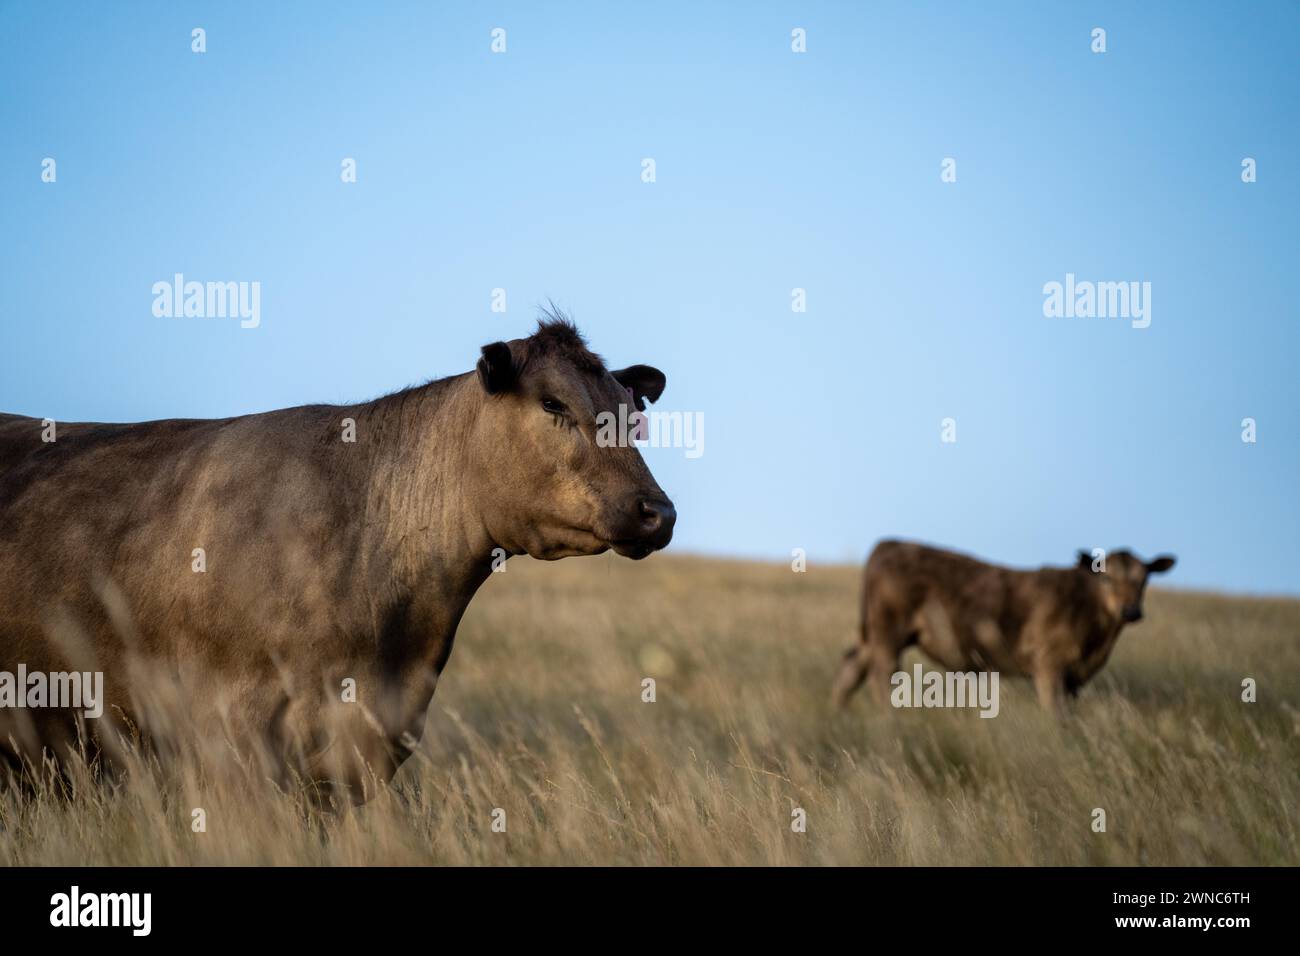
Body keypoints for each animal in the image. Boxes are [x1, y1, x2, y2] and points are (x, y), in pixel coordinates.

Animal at [831, 540, 1176, 713]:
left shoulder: (1074, 679)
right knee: (880, 676)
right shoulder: (1049, 666)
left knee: (851, 667)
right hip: (888, 632)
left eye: (1144, 579)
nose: (1130, 610)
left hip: (876, 634)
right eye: (1106, 577)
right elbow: (1056, 716)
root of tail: (890, 543)